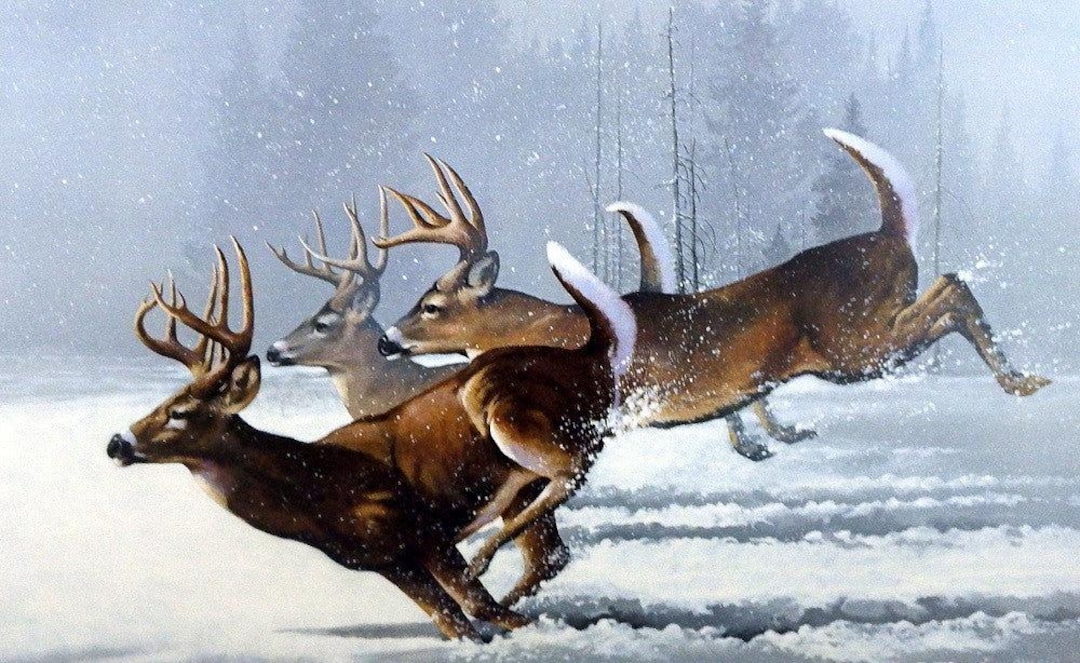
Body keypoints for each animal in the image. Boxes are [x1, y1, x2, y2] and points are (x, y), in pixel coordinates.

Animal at [107, 237, 632, 635]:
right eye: (160, 403)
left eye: (180, 412)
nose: (117, 442)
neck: (318, 487)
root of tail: (592, 353)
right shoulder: (387, 561)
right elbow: (456, 625)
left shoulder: (424, 529)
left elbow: (480, 609)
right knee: (548, 544)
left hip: (510, 418)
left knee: (572, 469)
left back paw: (488, 555)